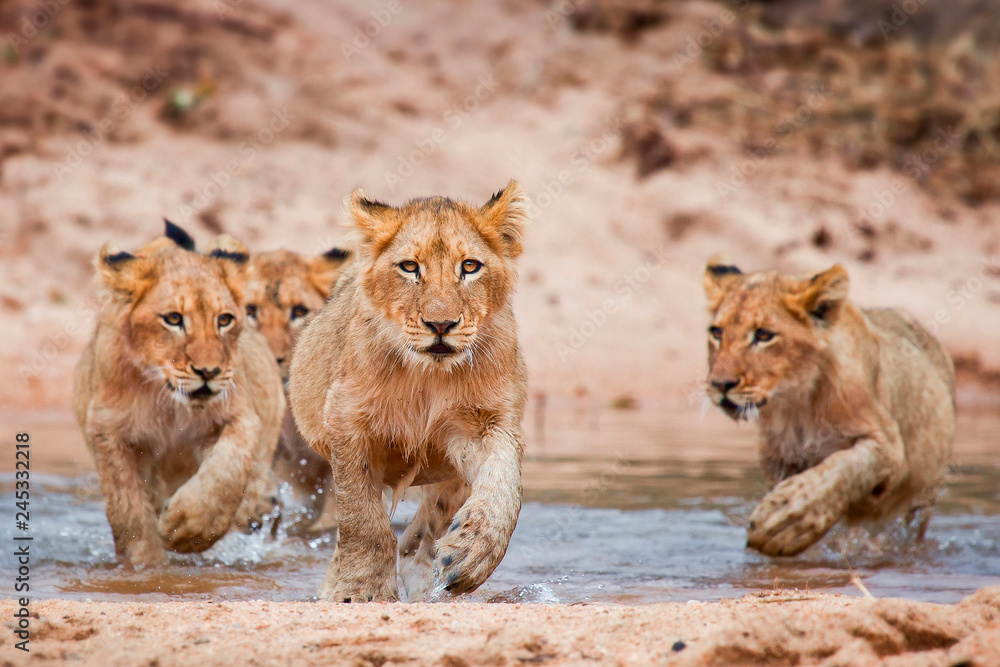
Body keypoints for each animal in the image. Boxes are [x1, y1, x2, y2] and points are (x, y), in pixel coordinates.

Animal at [73, 225, 285, 566]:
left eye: (224, 319)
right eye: (173, 319)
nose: (208, 372)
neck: (169, 405)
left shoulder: (240, 415)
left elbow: (225, 473)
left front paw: (187, 530)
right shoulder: (107, 429)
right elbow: (128, 508)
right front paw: (146, 565)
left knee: (252, 488)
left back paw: (260, 506)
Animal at [288, 181, 529, 602]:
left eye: (470, 266)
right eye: (410, 267)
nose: (441, 324)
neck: (426, 378)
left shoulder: (486, 424)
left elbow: (503, 485)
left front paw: (473, 553)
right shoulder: (347, 422)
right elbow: (363, 521)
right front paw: (361, 592)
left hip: (449, 481)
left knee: (422, 534)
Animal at [703, 255, 955, 557]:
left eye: (763, 335)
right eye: (717, 332)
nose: (720, 384)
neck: (797, 404)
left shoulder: (889, 446)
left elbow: (838, 471)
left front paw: (784, 521)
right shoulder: (778, 462)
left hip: (921, 497)